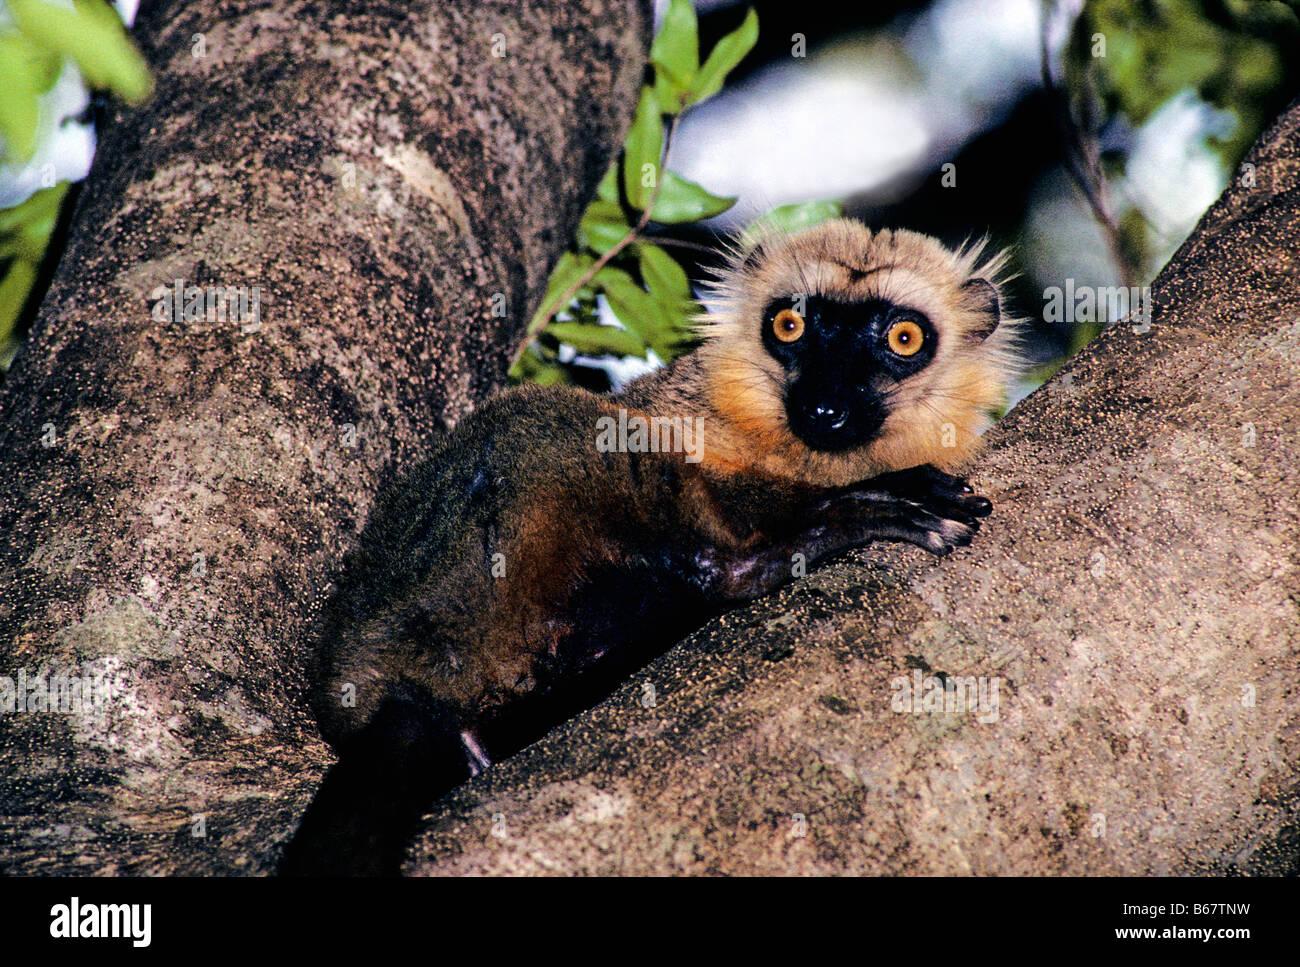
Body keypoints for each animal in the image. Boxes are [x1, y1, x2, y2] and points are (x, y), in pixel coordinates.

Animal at [279, 219, 1021, 876]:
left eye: (902, 337)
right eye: (791, 327)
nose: (825, 406)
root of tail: (376, 685)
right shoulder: (689, 415)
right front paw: (878, 491)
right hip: (453, 589)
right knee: (551, 426)